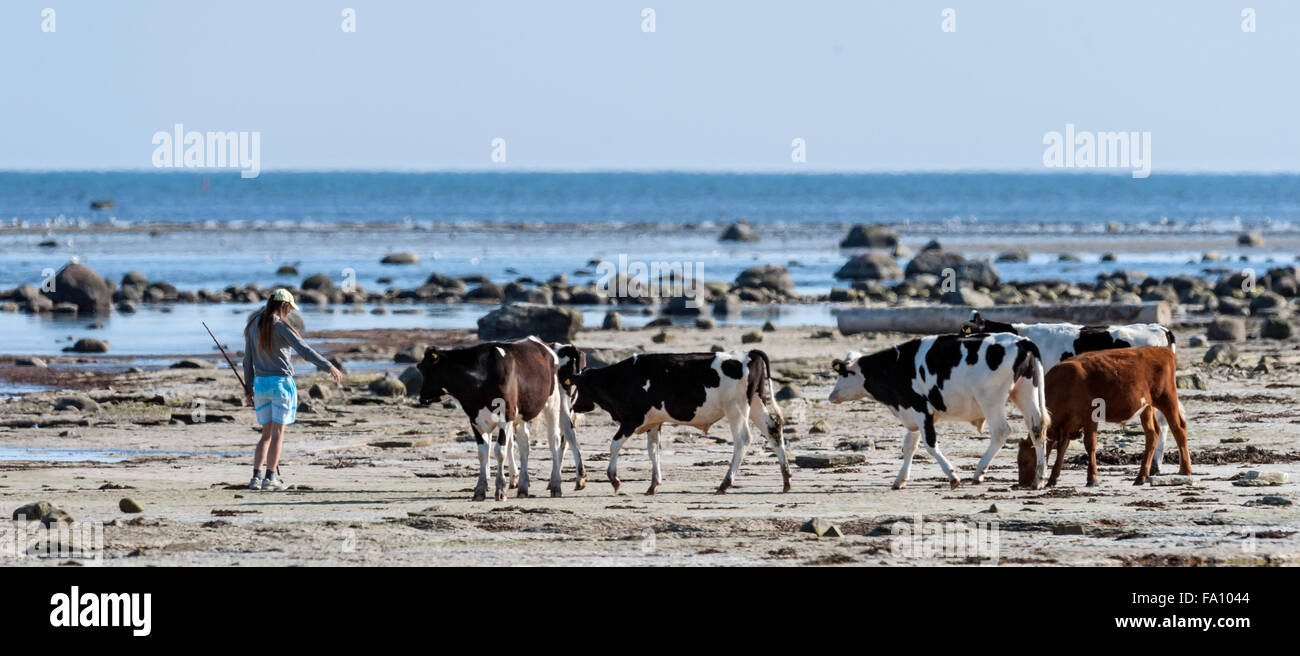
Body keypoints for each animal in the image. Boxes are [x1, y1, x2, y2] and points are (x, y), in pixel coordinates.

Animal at [416, 336, 581, 501]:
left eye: (424, 369)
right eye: (420, 367)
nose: (422, 397)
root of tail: (543, 344)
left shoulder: (507, 415)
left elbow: (499, 451)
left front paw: (500, 489)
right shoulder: (475, 419)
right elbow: (483, 453)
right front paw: (480, 489)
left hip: (555, 403)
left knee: (556, 440)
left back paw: (556, 485)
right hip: (522, 415)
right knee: (524, 444)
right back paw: (523, 487)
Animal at [566, 350, 788, 495]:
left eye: (578, 387)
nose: (573, 407)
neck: (621, 379)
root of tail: (750, 353)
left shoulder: (632, 419)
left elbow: (614, 445)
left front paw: (614, 480)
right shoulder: (654, 422)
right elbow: (653, 451)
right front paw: (653, 485)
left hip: (736, 408)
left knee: (742, 440)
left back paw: (725, 484)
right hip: (756, 403)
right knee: (773, 431)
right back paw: (786, 480)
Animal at [828, 333, 1051, 490]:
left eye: (844, 375)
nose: (831, 396)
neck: (897, 367)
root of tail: (1022, 341)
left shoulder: (920, 408)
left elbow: (930, 444)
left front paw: (953, 476)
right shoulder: (911, 412)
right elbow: (909, 446)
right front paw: (900, 479)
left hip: (990, 399)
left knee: (1001, 431)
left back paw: (979, 472)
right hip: (1025, 391)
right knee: (1037, 429)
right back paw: (1039, 479)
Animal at [1016, 346, 1189, 487]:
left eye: (1024, 461)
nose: (1022, 483)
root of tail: (1161, 350)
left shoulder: (1090, 416)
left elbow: (1090, 445)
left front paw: (1092, 478)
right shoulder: (1068, 425)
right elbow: (1062, 449)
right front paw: (1053, 479)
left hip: (1167, 398)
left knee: (1178, 428)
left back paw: (1185, 470)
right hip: (1147, 407)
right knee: (1152, 434)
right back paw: (1141, 477)